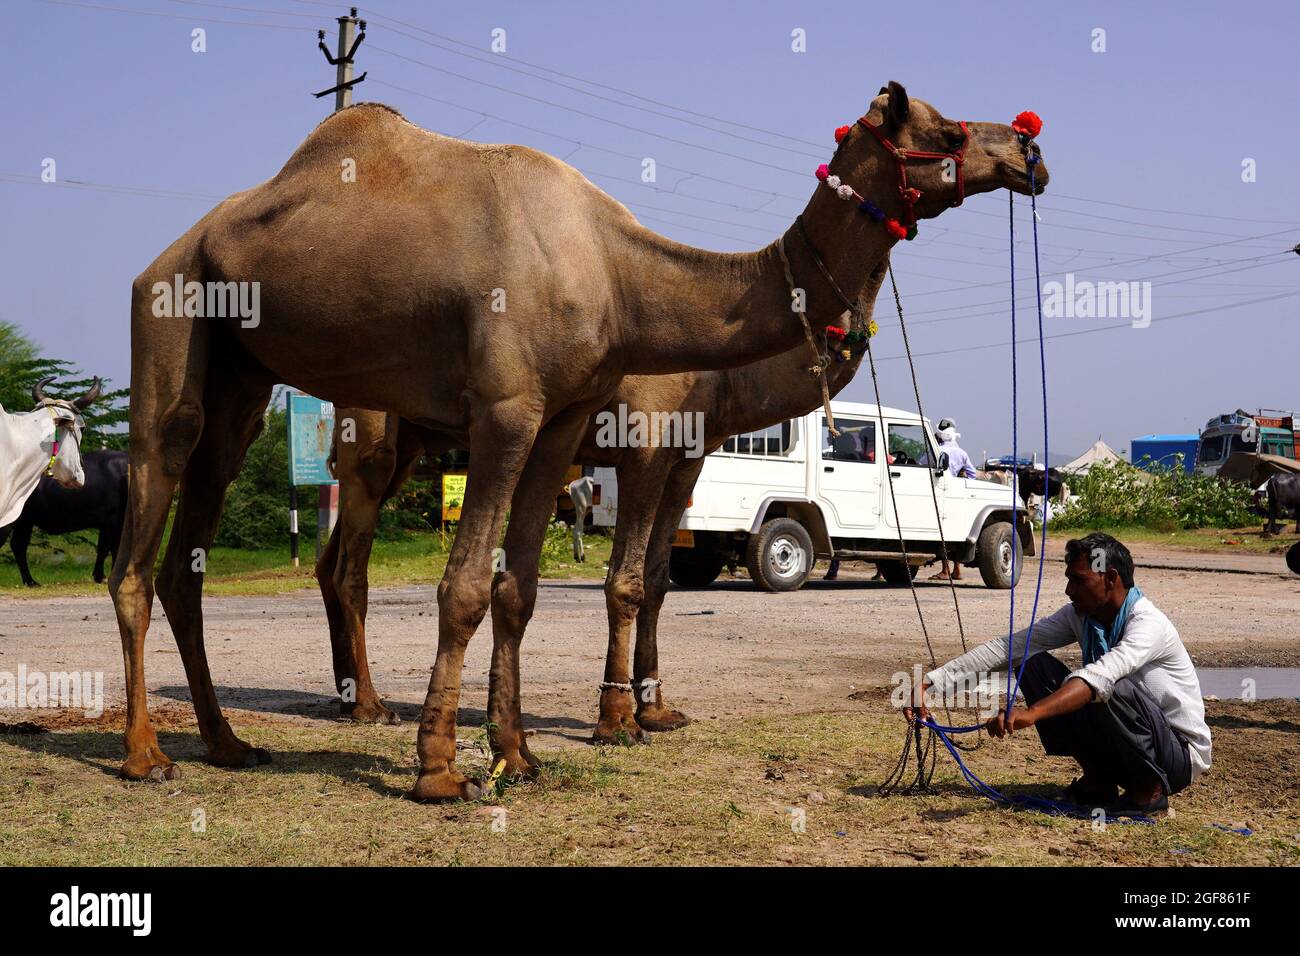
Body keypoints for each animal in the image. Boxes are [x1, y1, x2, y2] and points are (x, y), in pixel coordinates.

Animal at [0, 450, 128, 586]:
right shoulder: (112, 521)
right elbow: (112, 549)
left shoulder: (108, 524)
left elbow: (104, 548)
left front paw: (100, 576)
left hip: (25, 522)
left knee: (18, 545)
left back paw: (30, 581)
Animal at [109, 82, 1047, 801]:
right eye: (947, 130)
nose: (1030, 150)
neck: (622, 276)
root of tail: (175, 248)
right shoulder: (534, 415)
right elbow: (508, 585)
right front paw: (463, 764)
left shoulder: (581, 427)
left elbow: (542, 587)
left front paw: (531, 751)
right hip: (180, 317)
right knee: (165, 520)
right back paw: (158, 754)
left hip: (249, 376)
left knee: (204, 546)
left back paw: (232, 742)